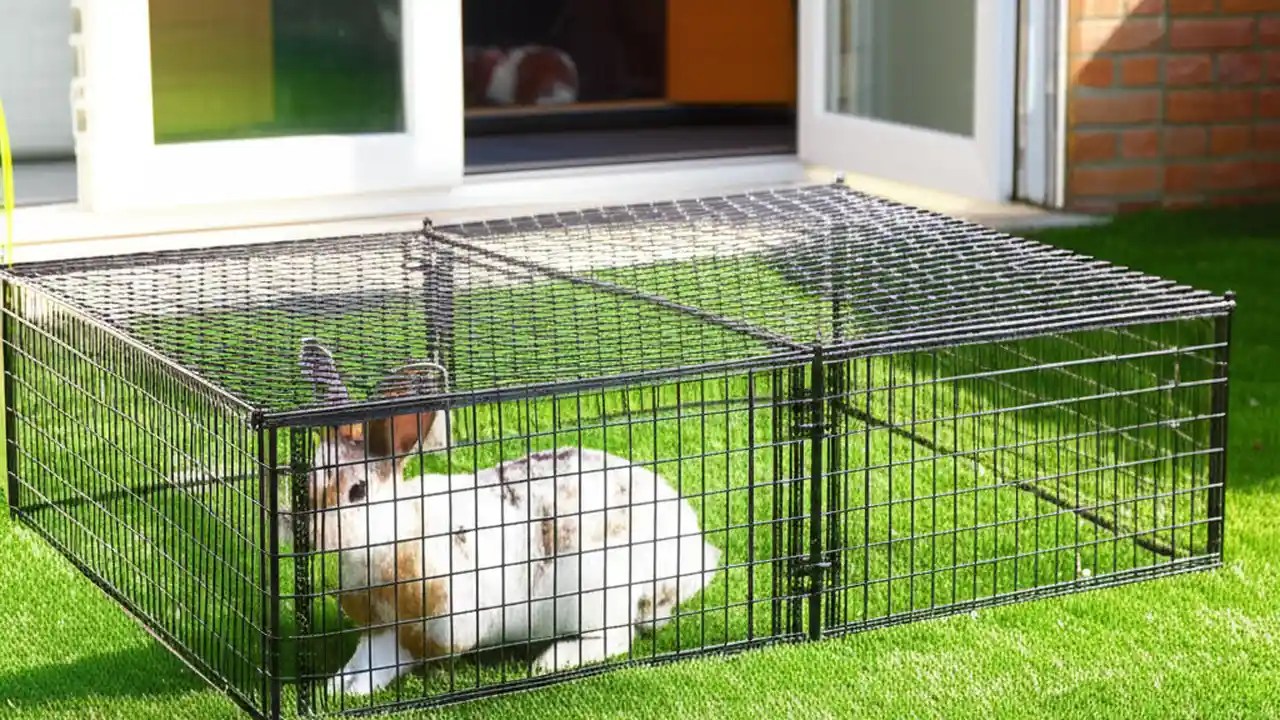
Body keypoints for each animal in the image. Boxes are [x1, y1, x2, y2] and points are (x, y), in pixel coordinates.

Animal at [297, 340, 723, 697]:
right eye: (308, 479)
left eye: (358, 491)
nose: (313, 535)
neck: (396, 535)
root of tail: (689, 557)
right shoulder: (378, 628)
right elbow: (364, 657)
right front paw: (336, 686)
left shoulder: (434, 630)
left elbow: (390, 661)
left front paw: (350, 691)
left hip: (596, 594)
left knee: (617, 639)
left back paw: (552, 660)